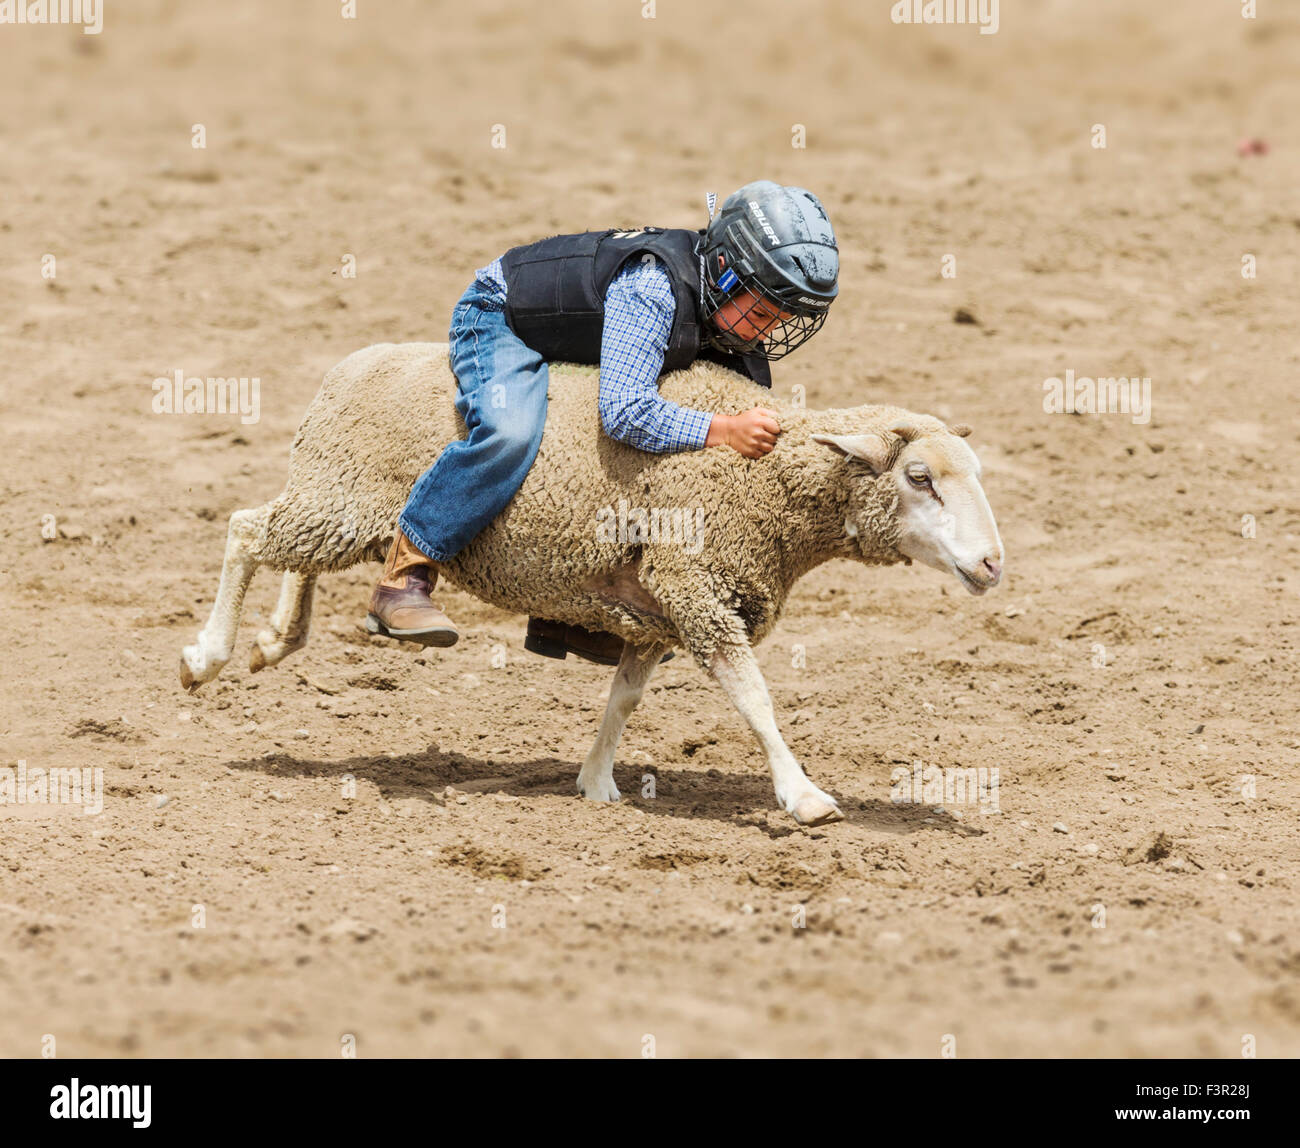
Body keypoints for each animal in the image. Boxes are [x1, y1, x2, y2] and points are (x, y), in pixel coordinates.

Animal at [180, 342, 1004, 826]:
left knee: (295, 553)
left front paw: (596, 782)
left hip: (345, 504)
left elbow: (624, 699)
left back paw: (274, 639)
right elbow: (754, 696)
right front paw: (803, 796)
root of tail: (350, 364)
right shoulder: (694, 586)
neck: (769, 485)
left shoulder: (658, 611)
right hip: (342, 498)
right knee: (247, 531)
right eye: (920, 478)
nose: (995, 564)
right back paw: (207, 656)